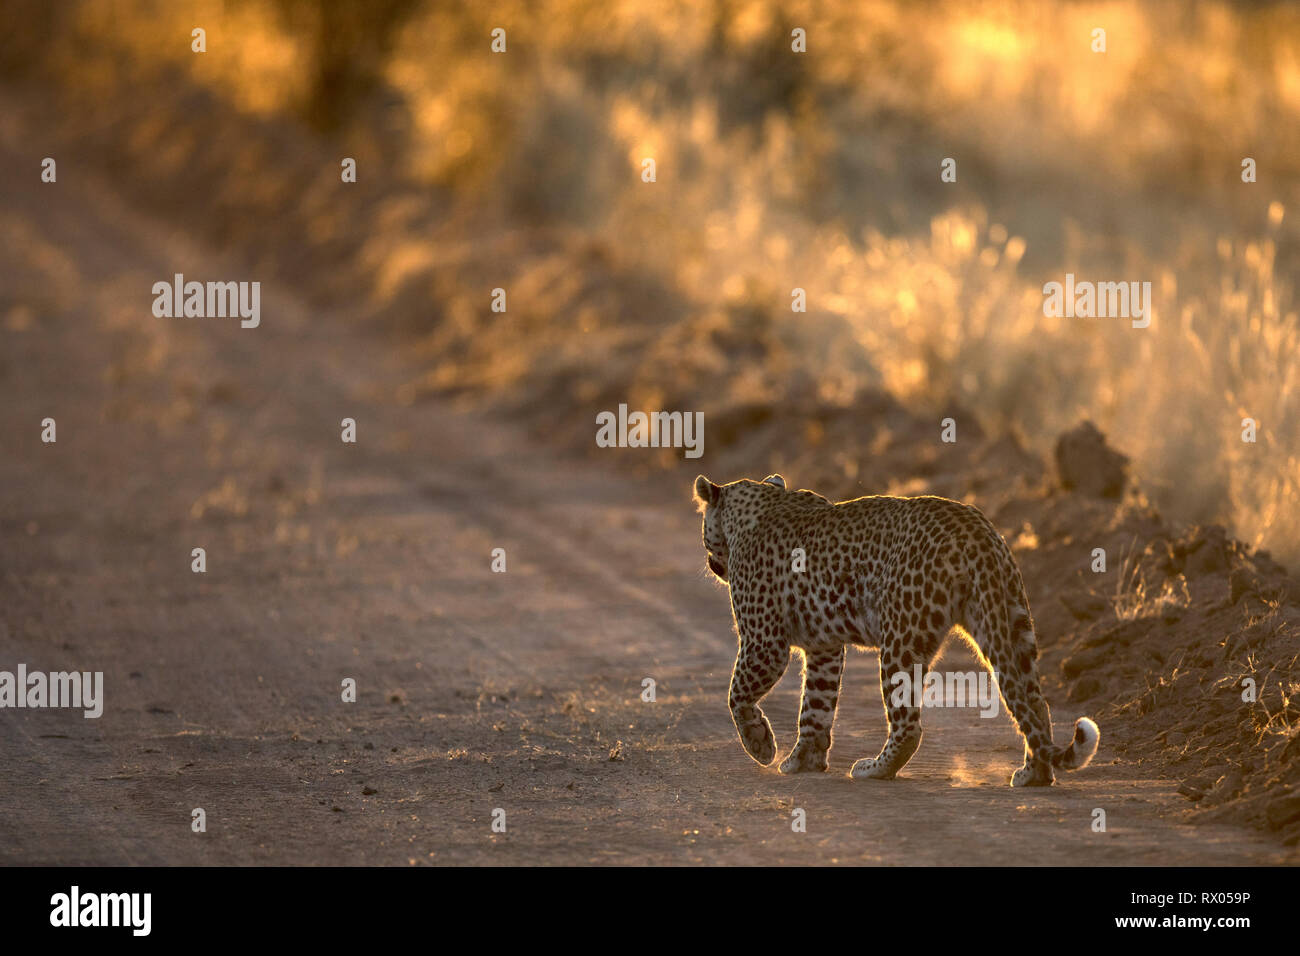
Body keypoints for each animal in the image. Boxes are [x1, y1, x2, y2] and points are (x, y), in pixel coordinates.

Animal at [693, 472, 1100, 786]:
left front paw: (760, 745)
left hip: (901, 641)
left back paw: (874, 769)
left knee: (909, 727)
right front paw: (804, 760)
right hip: (1010, 621)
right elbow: (816, 705)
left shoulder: (763, 642)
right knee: (1034, 704)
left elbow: (736, 694)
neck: (759, 504)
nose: (712, 565)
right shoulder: (824, 647)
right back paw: (1035, 775)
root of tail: (973, 525)